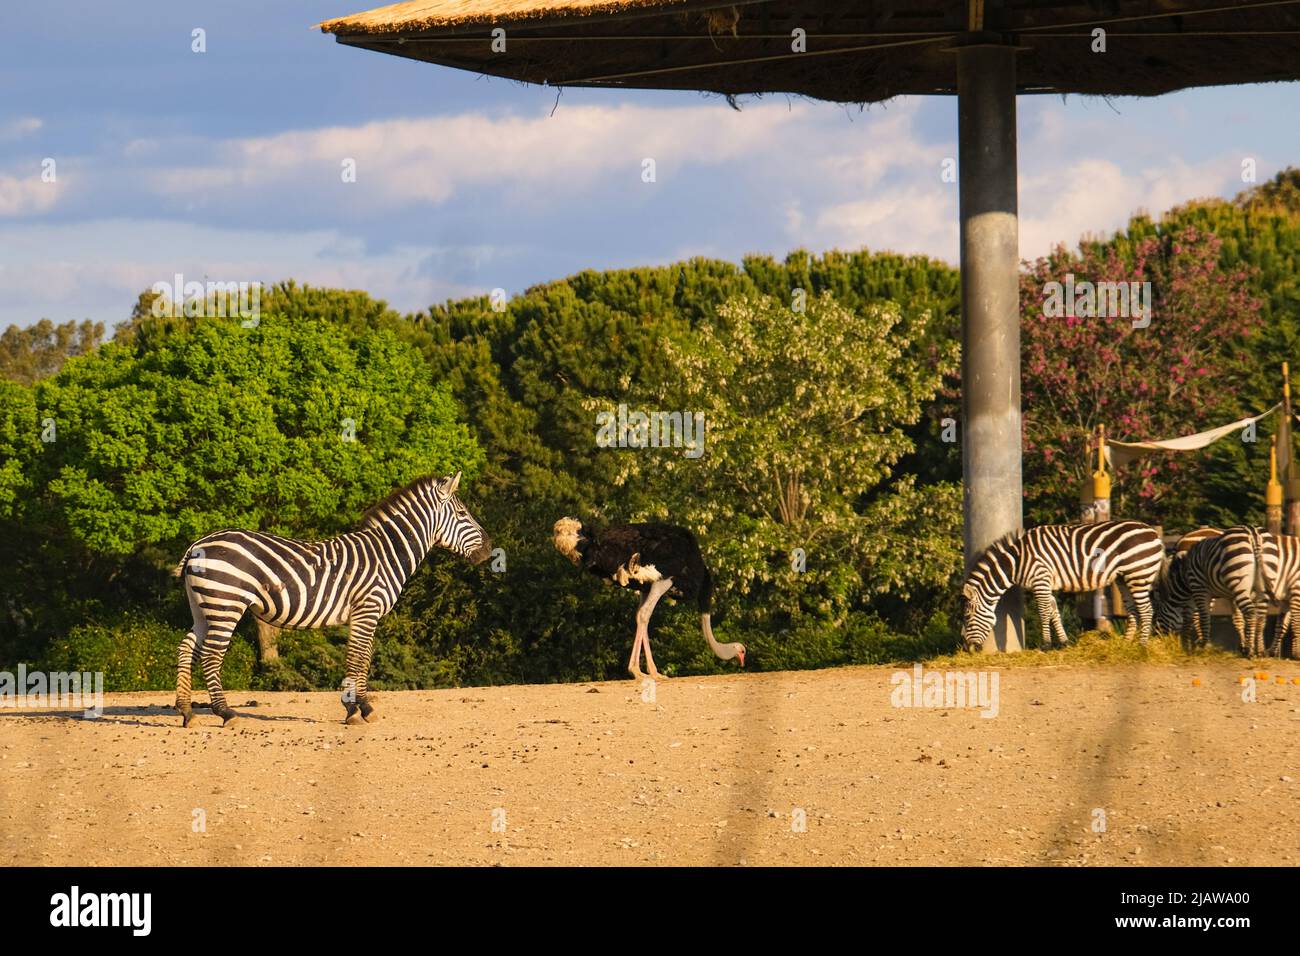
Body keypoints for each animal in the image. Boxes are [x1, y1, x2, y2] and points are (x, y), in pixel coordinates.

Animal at [173, 472, 492, 726]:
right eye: (463, 515)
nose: (489, 550)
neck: (385, 553)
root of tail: (198, 544)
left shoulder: (367, 615)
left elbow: (364, 658)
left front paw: (359, 707)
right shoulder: (367, 609)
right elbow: (358, 657)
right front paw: (357, 709)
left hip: (204, 607)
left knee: (187, 648)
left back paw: (187, 712)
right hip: (226, 604)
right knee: (211, 655)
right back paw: (226, 713)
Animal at [961, 519, 1165, 650]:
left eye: (968, 617)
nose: (967, 648)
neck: (1017, 561)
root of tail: (1153, 532)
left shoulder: (1040, 579)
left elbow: (1044, 612)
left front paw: (1045, 645)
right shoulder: (1045, 584)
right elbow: (1054, 612)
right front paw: (1064, 643)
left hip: (1138, 573)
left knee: (1146, 610)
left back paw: (1142, 646)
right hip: (1125, 577)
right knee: (1133, 609)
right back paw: (1126, 644)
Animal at [1152, 526, 1277, 656]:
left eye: (1157, 616)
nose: (1156, 638)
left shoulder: (1199, 587)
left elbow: (1200, 616)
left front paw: (1196, 644)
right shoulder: (1231, 595)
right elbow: (1238, 620)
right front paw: (1244, 645)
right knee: (1260, 615)